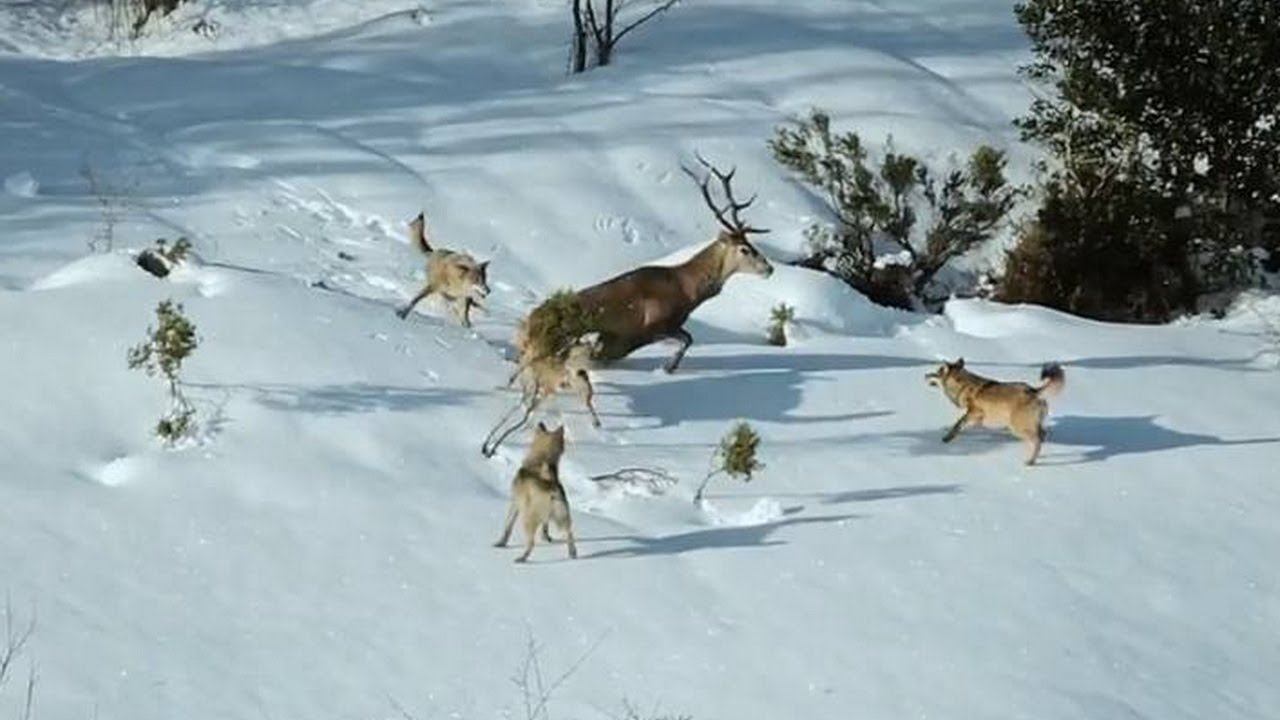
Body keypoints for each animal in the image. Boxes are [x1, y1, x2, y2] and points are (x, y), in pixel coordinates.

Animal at [491, 420, 578, 561]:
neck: (541, 458)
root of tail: (552, 488)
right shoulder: (545, 518)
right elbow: (545, 528)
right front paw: (546, 538)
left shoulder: (515, 504)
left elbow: (507, 527)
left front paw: (501, 543)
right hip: (563, 518)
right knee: (569, 534)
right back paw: (572, 554)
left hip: (528, 520)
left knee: (531, 543)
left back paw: (522, 558)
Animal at [514, 151, 773, 376]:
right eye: (745, 249)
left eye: (751, 244)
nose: (769, 268)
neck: (688, 290)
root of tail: (526, 326)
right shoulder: (650, 326)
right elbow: (687, 340)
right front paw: (668, 368)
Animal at [926, 358, 1064, 466]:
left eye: (936, 373)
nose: (925, 375)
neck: (963, 386)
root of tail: (1034, 391)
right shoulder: (976, 419)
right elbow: (963, 426)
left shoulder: (975, 413)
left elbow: (959, 423)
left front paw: (947, 438)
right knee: (1042, 435)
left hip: (1017, 428)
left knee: (1037, 441)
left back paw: (1030, 461)